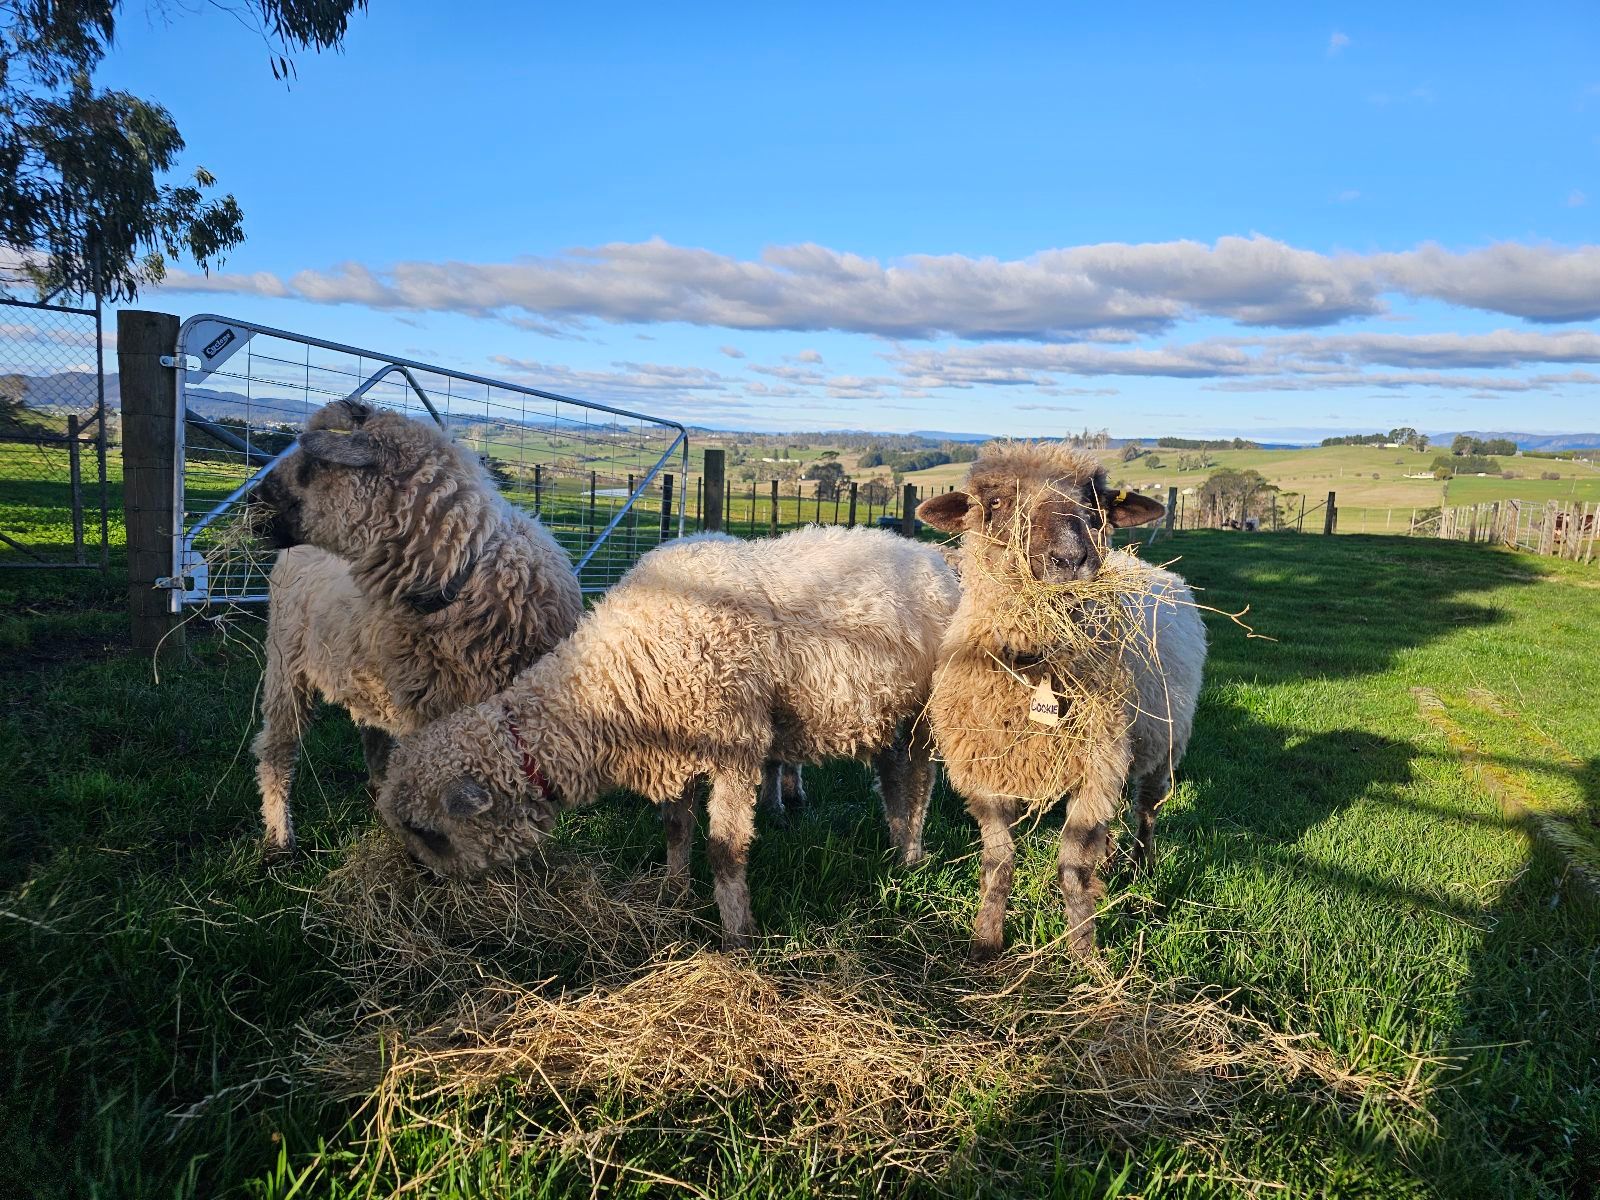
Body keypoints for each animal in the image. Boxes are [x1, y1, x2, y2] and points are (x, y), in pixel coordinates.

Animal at [247, 397, 584, 858]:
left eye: (314, 465)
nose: (251, 501)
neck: (463, 574)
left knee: (370, 735)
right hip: (286, 661)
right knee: (276, 750)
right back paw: (280, 836)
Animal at [374, 525, 959, 947]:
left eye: (427, 831)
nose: (423, 883)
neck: (613, 679)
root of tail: (932, 557)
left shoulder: (736, 748)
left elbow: (725, 850)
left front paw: (737, 938)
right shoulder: (674, 747)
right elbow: (676, 829)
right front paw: (673, 895)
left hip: (924, 713)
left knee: (917, 784)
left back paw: (910, 858)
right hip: (889, 716)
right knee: (894, 778)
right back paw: (896, 850)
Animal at [916, 442, 1207, 959]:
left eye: (1095, 503)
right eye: (994, 503)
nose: (1071, 559)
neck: (1035, 667)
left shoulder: (1096, 769)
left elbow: (1072, 867)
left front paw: (1084, 955)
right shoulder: (985, 773)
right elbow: (999, 862)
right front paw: (985, 941)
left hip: (1165, 745)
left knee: (1147, 811)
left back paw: (1141, 869)